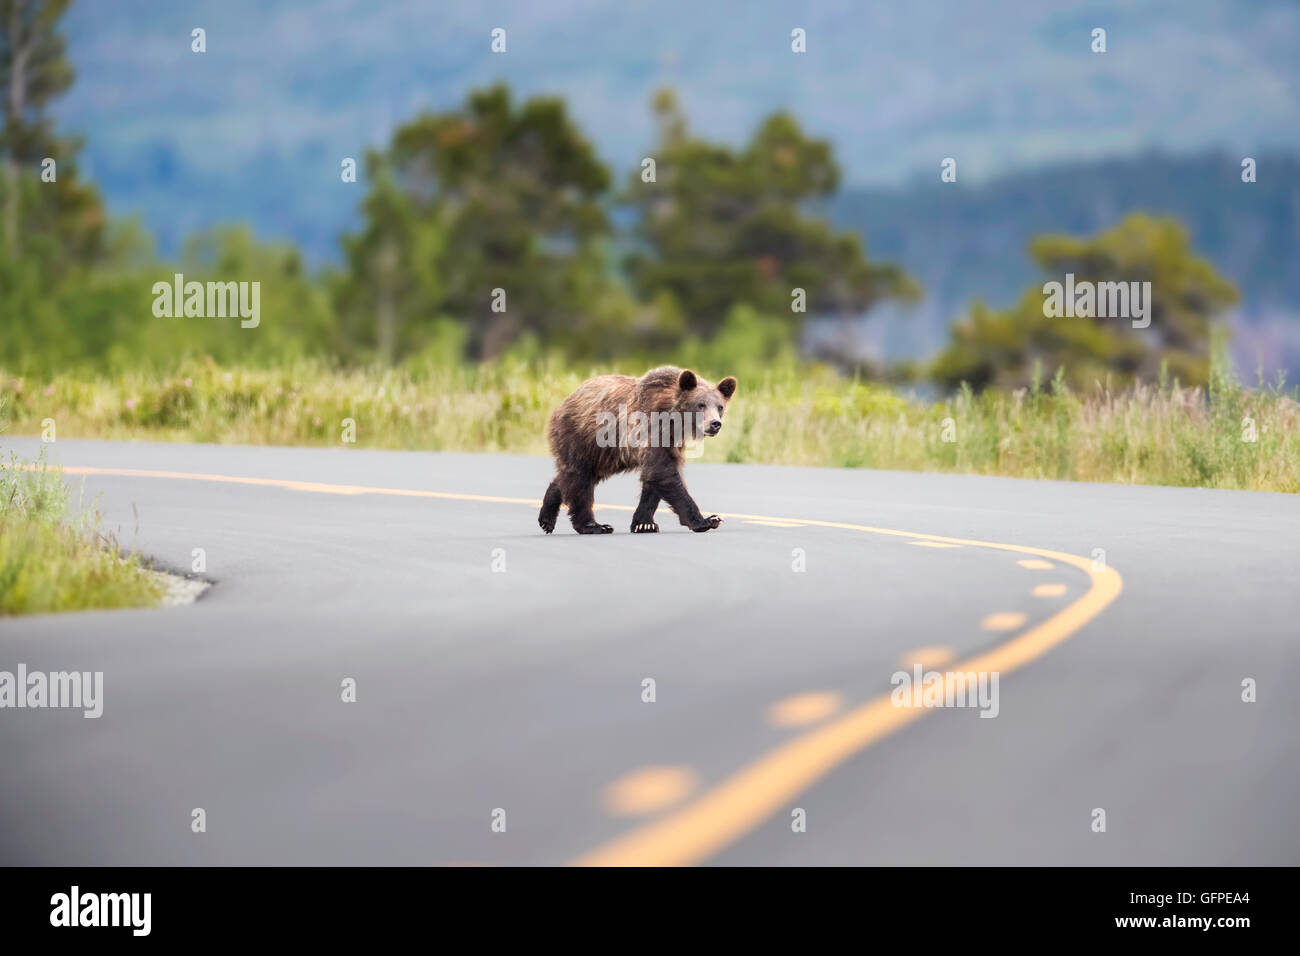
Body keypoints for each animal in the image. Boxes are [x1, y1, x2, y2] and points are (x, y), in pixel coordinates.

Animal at [538, 367, 737, 534]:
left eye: (720, 407)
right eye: (701, 404)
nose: (715, 424)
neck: (674, 419)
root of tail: (565, 401)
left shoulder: (672, 441)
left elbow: (656, 475)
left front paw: (644, 523)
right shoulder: (650, 426)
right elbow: (662, 471)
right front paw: (708, 519)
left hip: (605, 453)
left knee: (573, 475)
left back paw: (547, 517)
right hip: (582, 436)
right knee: (580, 478)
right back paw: (594, 525)